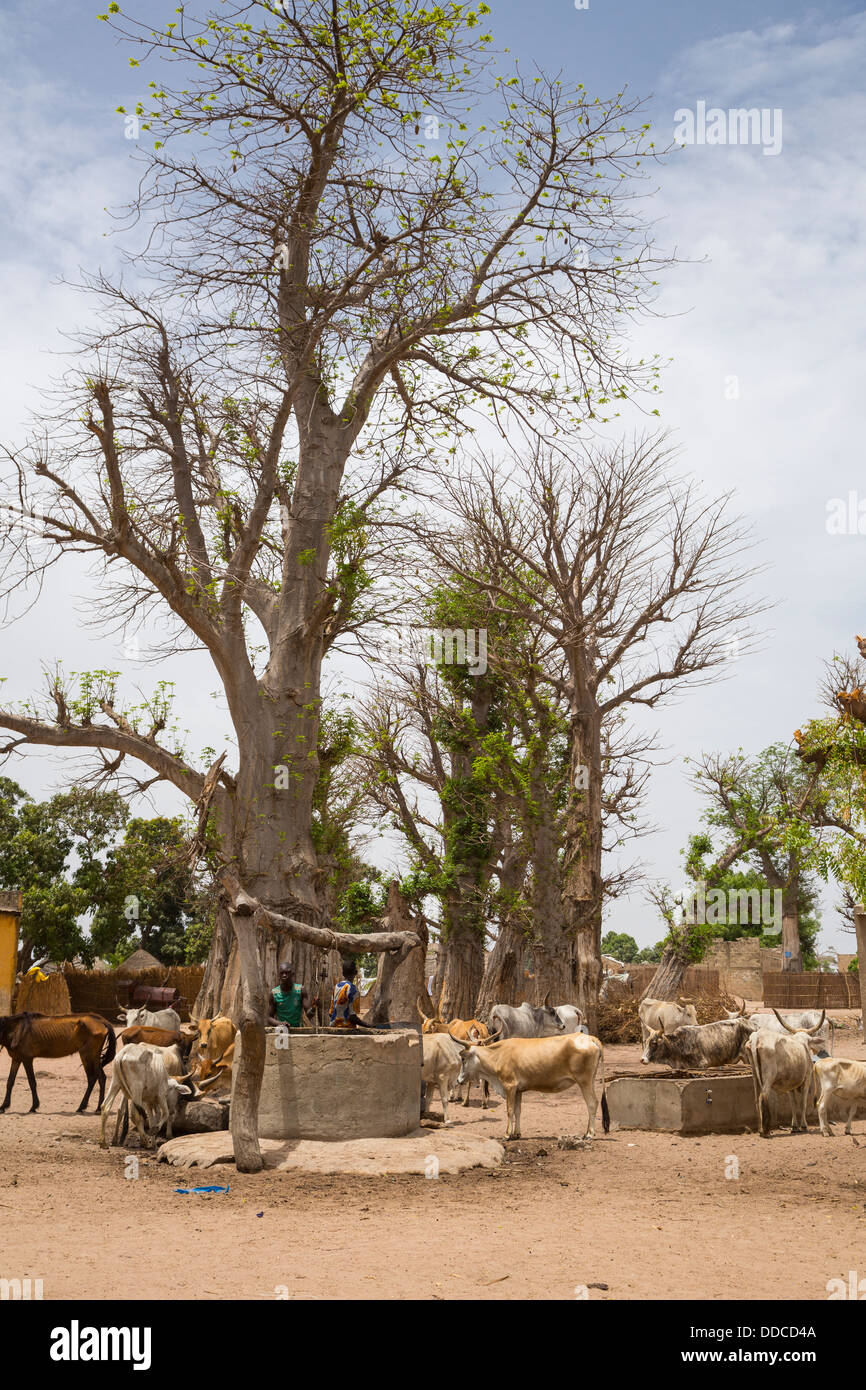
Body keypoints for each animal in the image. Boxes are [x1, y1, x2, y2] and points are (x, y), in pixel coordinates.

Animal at [457, 1033, 609, 1141]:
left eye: (463, 1059)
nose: (458, 1080)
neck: (498, 1055)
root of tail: (590, 1038)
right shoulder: (518, 1090)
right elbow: (518, 1111)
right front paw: (516, 1134)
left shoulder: (509, 1086)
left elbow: (510, 1111)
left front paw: (507, 1134)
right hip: (589, 1081)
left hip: (585, 1081)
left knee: (592, 1103)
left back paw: (589, 1134)